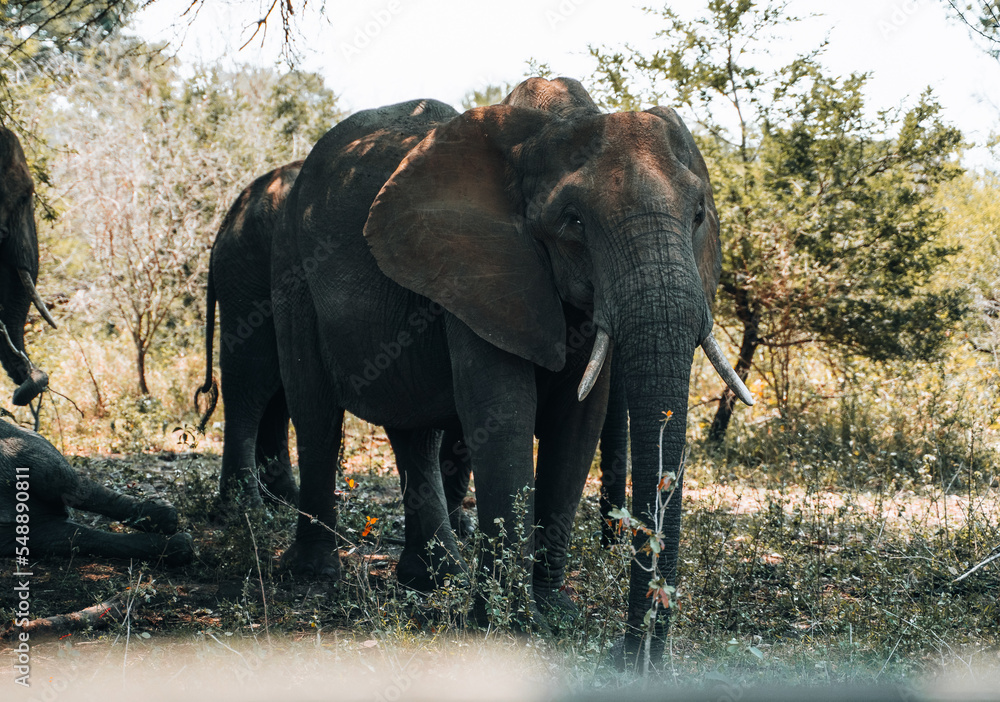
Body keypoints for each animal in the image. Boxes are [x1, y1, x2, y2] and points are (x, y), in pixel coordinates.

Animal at [195, 160, 475, 534]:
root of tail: (228, 218)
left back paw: (284, 499)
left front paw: (462, 528)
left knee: (278, 388)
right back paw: (245, 509)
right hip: (247, 272)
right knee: (251, 378)